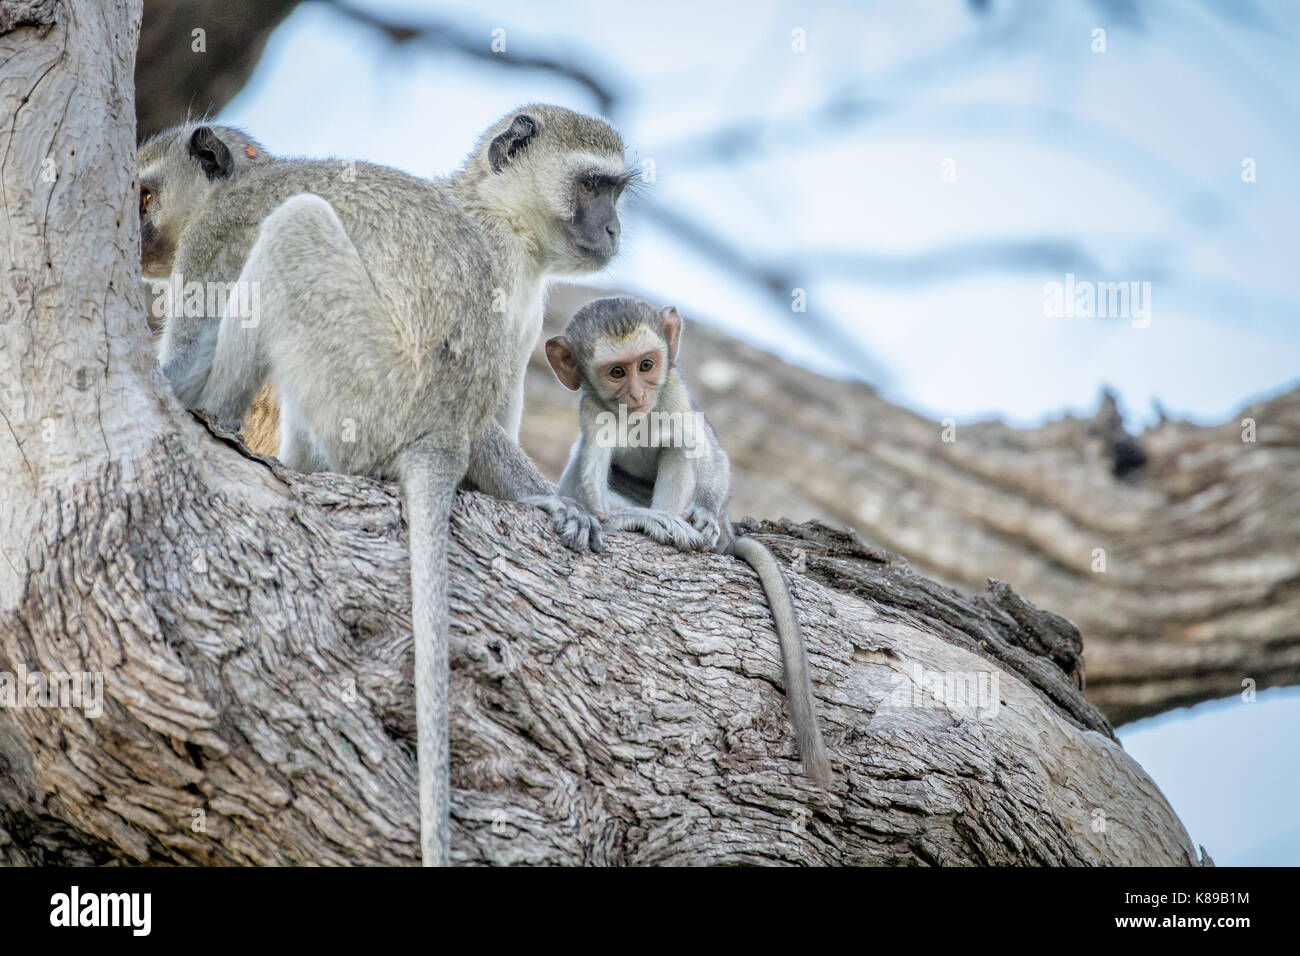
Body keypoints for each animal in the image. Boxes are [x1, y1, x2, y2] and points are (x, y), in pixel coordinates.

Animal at [136, 107, 634, 864]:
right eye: (596, 188)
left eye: (144, 198)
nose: (614, 229)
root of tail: (437, 430)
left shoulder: (219, 231)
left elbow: (188, 358)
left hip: (365, 384)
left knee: (295, 228)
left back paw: (222, 421)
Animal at [544, 296, 832, 786]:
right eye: (617, 373)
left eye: (646, 365)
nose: (638, 397)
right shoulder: (592, 411)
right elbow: (593, 486)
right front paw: (628, 520)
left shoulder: (674, 390)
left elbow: (704, 447)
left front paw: (701, 515)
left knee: (678, 446)